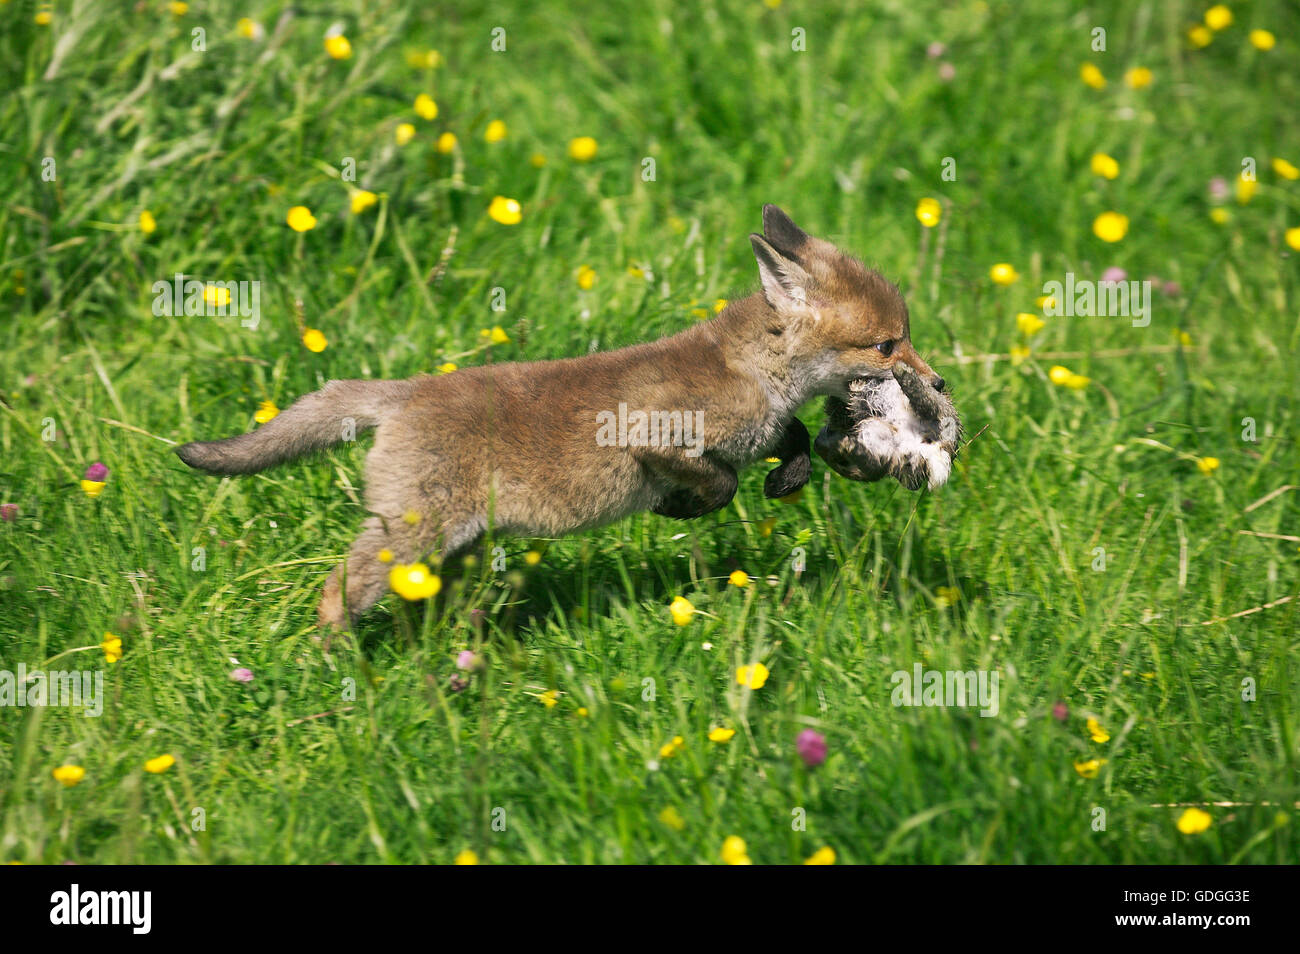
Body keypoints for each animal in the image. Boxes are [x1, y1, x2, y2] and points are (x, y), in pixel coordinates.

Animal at [175, 205, 946, 629]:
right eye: (887, 345)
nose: (938, 380)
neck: (748, 369)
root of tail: (404, 393)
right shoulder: (649, 435)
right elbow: (717, 483)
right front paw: (680, 508)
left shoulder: (754, 428)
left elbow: (789, 442)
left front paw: (785, 477)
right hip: (413, 534)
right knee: (336, 593)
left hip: (450, 548)